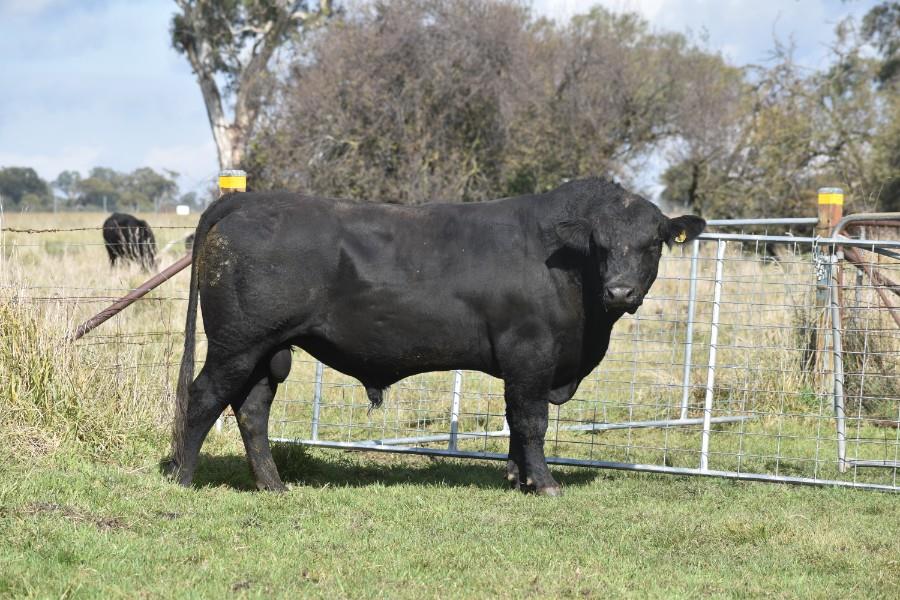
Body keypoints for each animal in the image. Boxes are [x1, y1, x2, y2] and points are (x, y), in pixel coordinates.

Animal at [167, 177, 705, 495]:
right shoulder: (530, 352)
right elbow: (531, 422)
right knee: (203, 397)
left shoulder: (524, 364)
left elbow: (514, 423)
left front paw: (518, 477)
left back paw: (273, 485)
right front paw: (545, 483)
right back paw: (184, 478)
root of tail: (248, 199)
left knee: (251, 410)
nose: (620, 290)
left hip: (268, 350)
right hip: (237, 344)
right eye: (600, 244)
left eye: (652, 243)